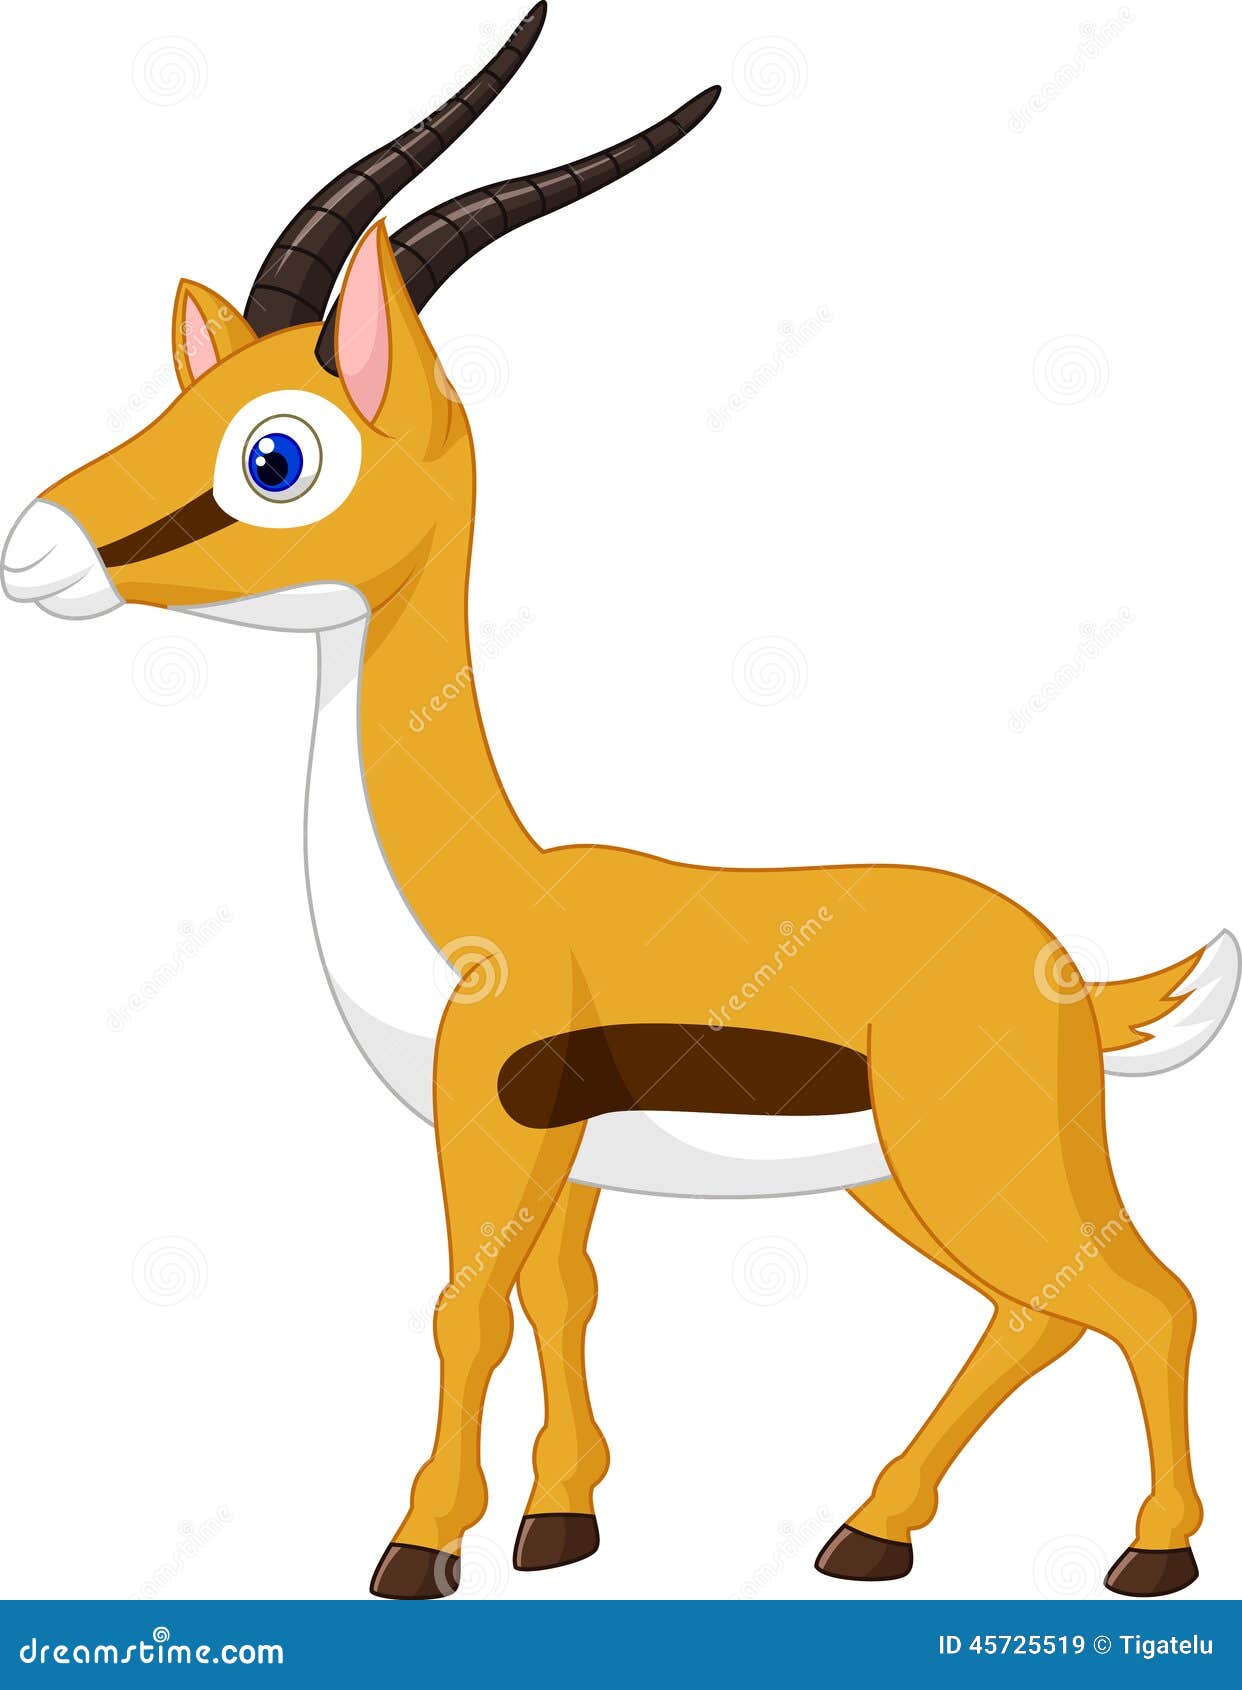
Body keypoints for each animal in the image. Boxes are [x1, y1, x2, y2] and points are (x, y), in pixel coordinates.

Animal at [4, 3, 1237, 1603]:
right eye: (180, 400)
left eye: (275, 452)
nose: (35, 546)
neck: (479, 886)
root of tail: (1073, 977)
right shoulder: (569, 1164)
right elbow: (564, 1299)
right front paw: (560, 1523)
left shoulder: (488, 1128)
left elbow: (464, 1306)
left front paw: (417, 1548)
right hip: (907, 1183)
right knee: (1039, 1311)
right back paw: (868, 1533)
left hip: (982, 1169)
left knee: (1147, 1295)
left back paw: (1143, 1556)